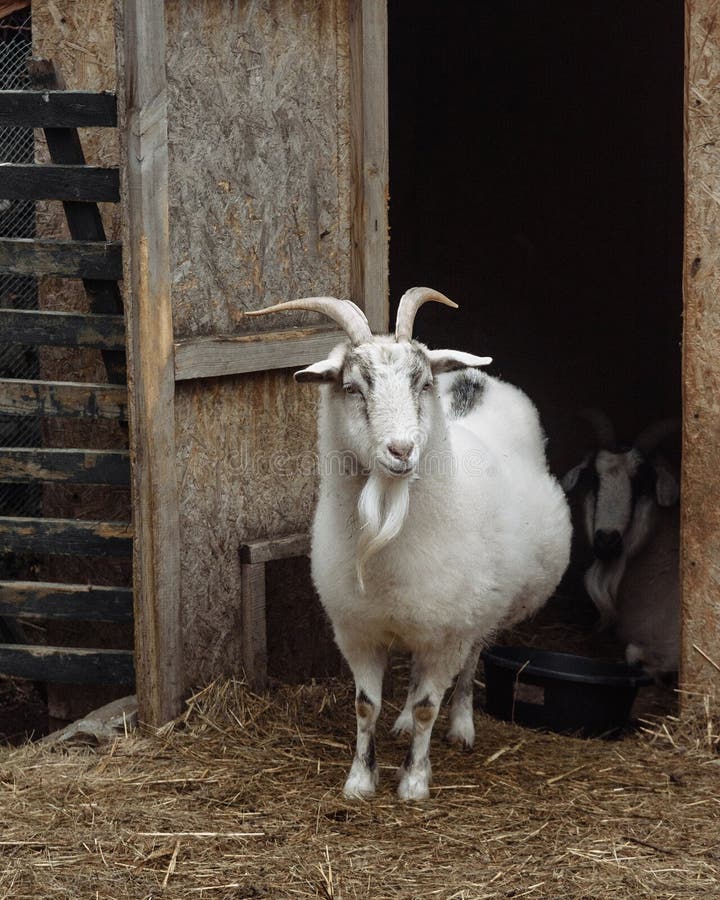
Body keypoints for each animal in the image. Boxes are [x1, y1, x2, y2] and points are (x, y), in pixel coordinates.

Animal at [248, 288, 571, 800]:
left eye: (422, 384)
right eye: (353, 387)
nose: (401, 450)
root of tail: (478, 378)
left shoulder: (448, 633)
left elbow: (427, 707)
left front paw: (415, 781)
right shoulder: (357, 631)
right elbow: (365, 705)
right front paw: (360, 780)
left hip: (481, 612)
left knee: (468, 666)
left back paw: (460, 726)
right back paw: (402, 724)